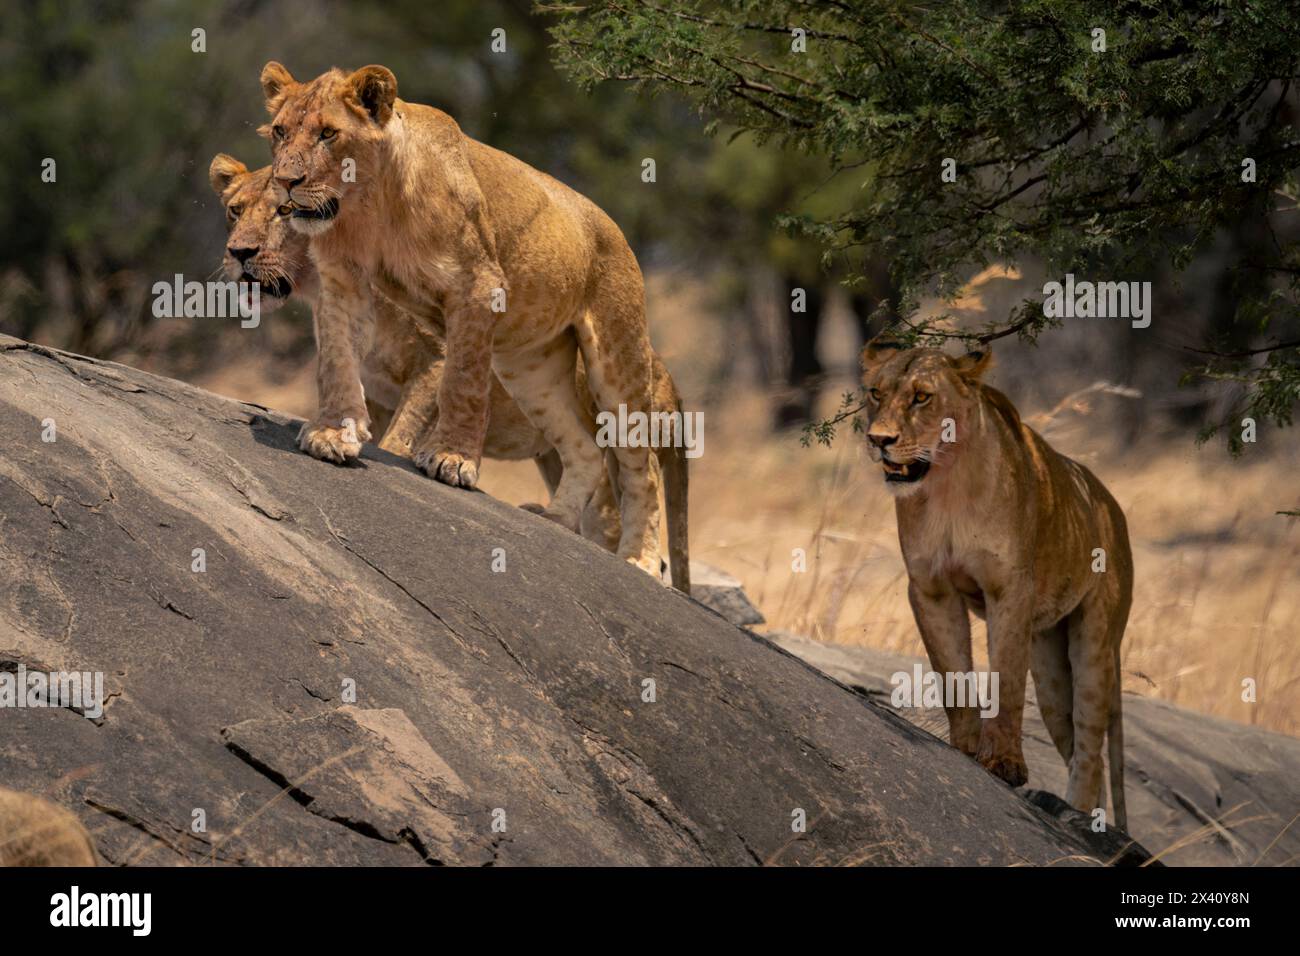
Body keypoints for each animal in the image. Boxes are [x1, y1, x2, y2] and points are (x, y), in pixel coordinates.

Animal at [209, 155, 690, 591]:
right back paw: (554, 518)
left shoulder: (437, 358)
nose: (239, 253)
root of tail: (666, 375)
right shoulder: (374, 390)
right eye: (235, 209)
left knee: (635, 481)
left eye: (284, 211)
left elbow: (404, 433)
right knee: (581, 458)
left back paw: (639, 562)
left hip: (615, 387)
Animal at [257, 61, 663, 575]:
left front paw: (452, 459)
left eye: (329, 134)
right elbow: (336, 361)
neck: (372, 202)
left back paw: (640, 559)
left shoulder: (479, 285)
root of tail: (616, 230)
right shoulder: (340, 279)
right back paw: (555, 519)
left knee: (643, 468)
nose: (285, 181)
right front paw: (332, 433)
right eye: (280, 131)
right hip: (531, 368)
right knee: (585, 447)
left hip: (617, 358)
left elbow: (462, 380)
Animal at [861, 341, 1131, 829]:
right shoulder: (930, 588)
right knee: (1080, 747)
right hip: (1050, 673)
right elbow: (953, 673)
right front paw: (966, 748)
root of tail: (1111, 505)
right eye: (875, 392)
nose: (878, 440)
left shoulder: (1009, 588)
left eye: (922, 397)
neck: (945, 485)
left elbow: (1005, 680)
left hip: (1096, 643)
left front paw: (1004, 764)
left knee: (1091, 750)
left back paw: (1078, 816)